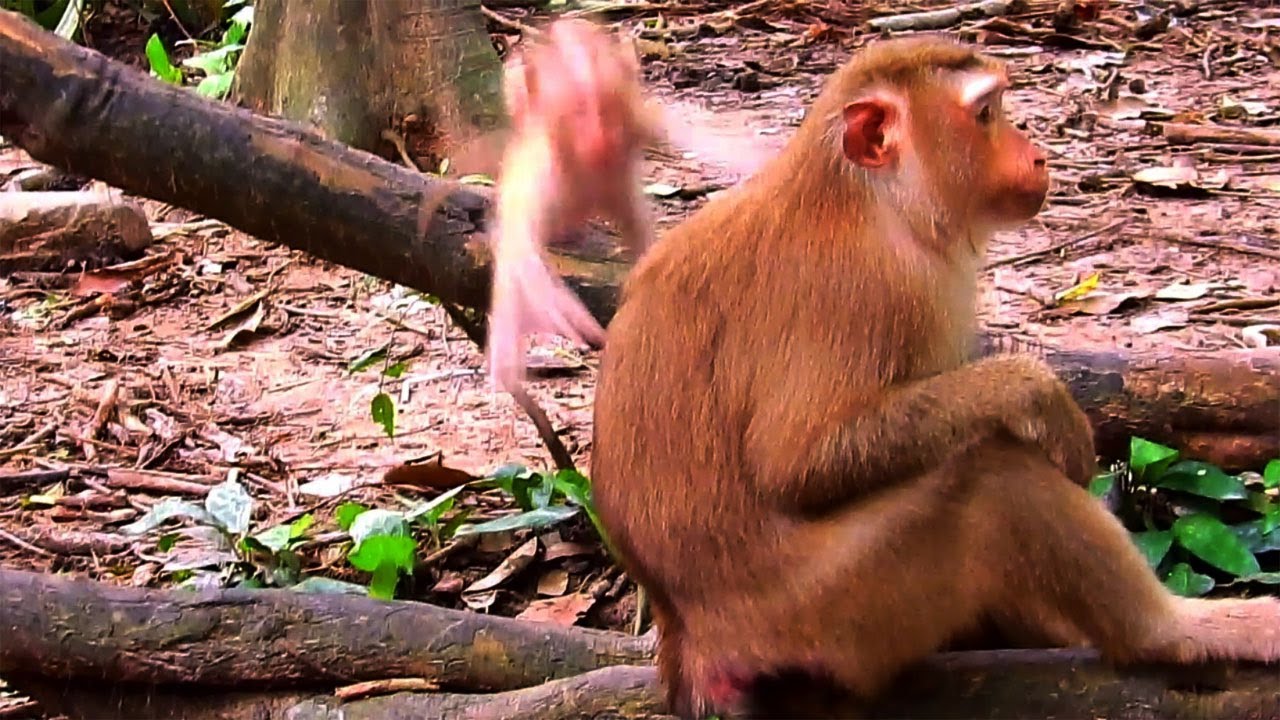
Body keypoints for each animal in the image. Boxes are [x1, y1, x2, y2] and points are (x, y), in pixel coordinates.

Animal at [576, 36, 1280, 719]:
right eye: (986, 115)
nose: (1039, 157)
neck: (864, 200)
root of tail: (690, 639)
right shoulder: (866, 290)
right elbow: (794, 460)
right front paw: (1033, 391)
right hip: (833, 615)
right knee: (992, 476)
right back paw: (1168, 632)